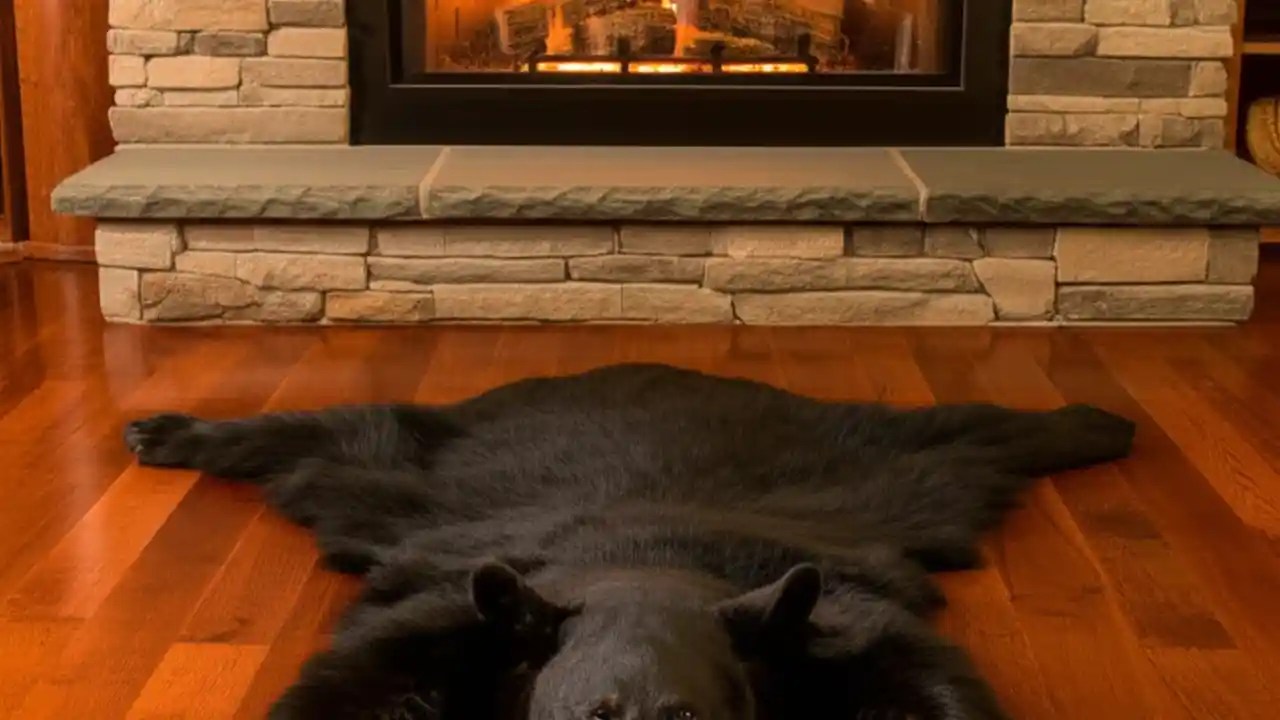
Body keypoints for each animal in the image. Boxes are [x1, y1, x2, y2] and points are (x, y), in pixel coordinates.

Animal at [123, 362, 1137, 720]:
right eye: (591, 719)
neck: (647, 565)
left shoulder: (839, 624)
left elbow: (931, 686)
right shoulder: (448, 616)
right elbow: (346, 690)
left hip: (873, 467)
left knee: (974, 431)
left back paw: (1100, 420)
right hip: (414, 468)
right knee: (331, 432)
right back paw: (169, 432)